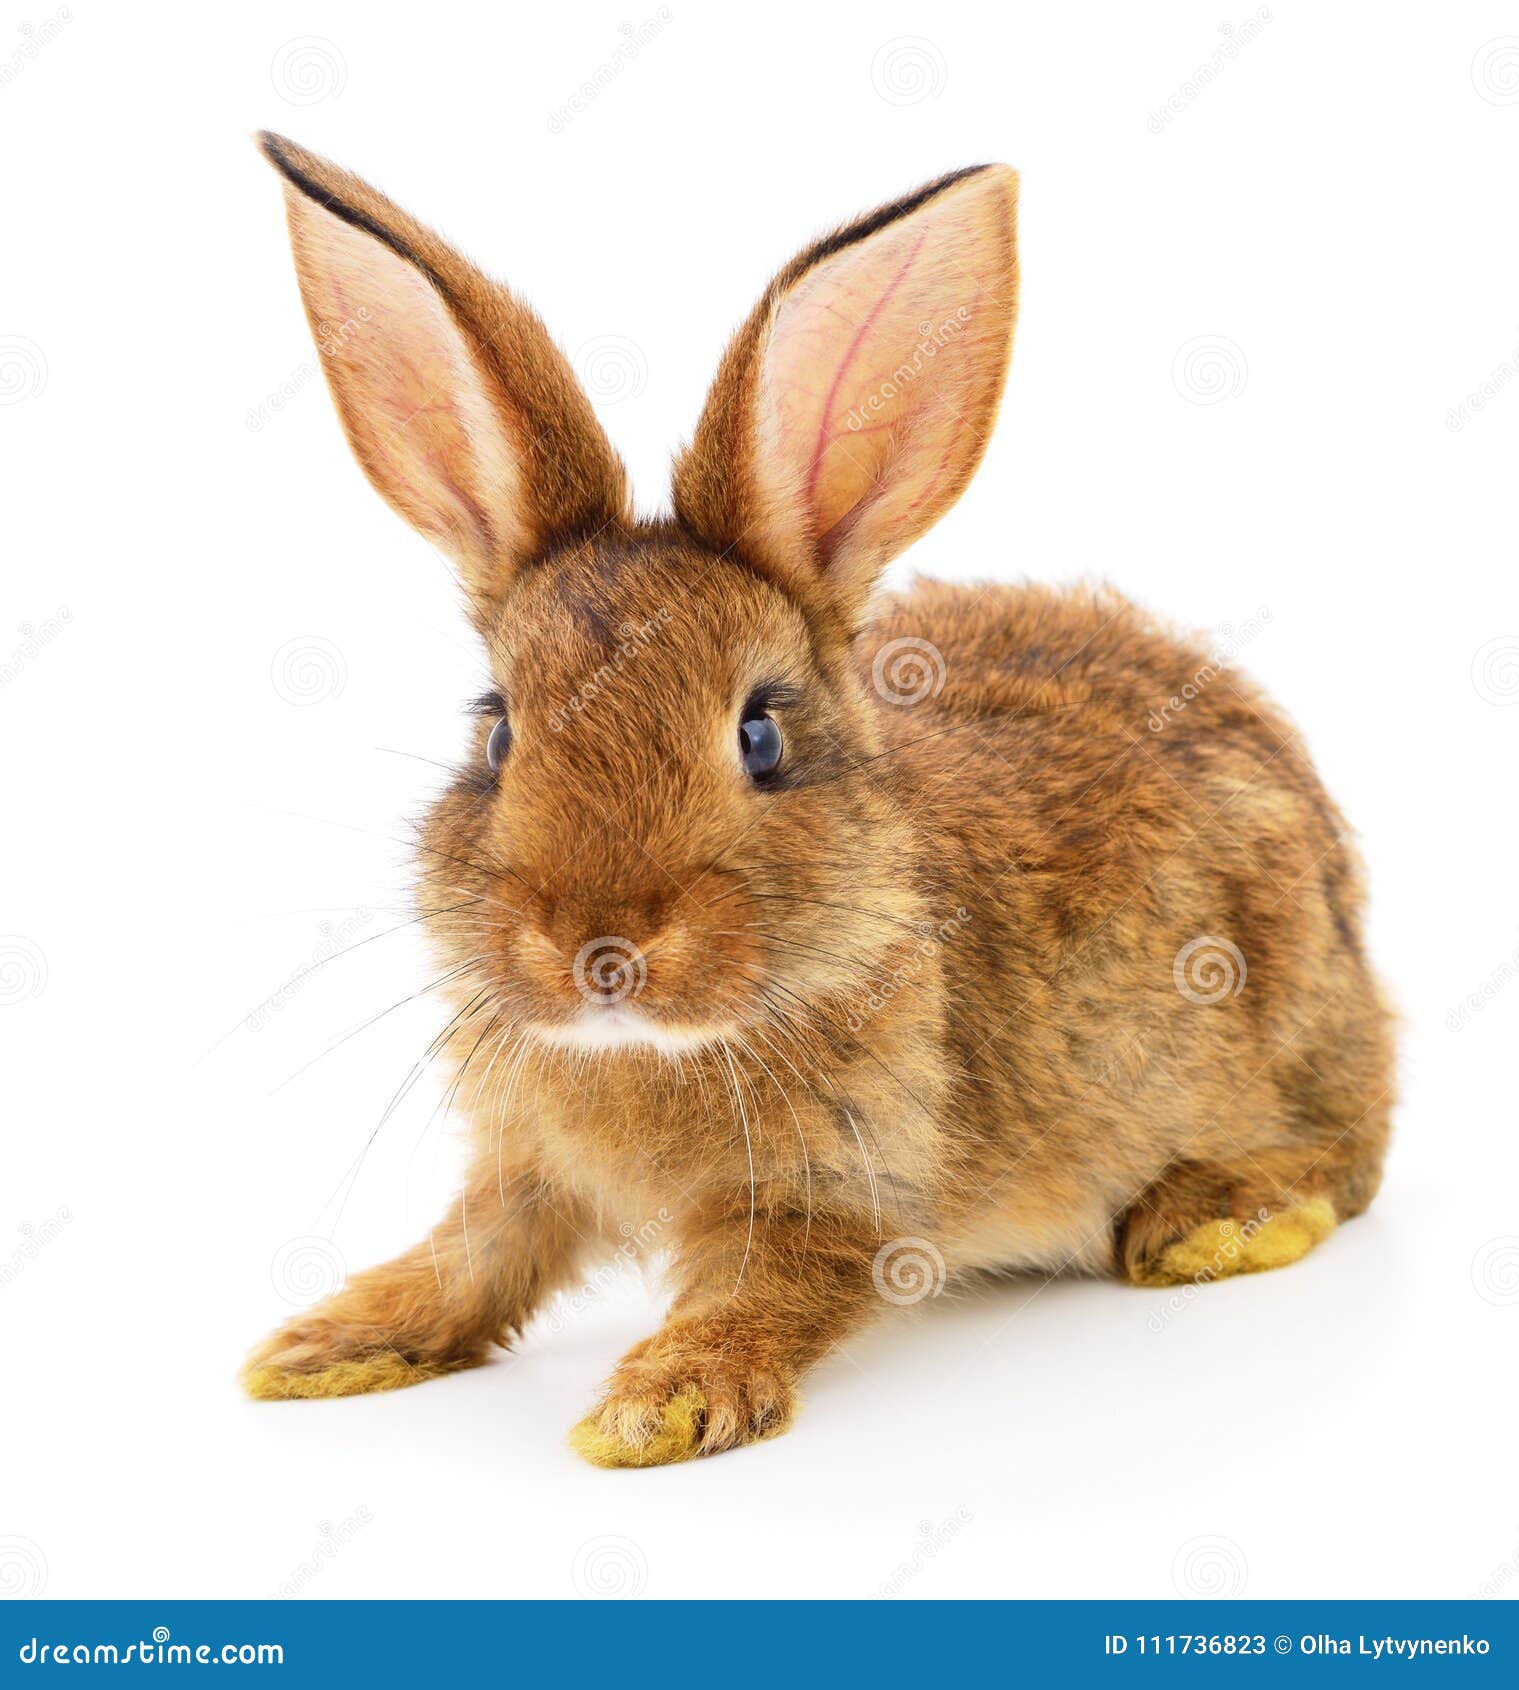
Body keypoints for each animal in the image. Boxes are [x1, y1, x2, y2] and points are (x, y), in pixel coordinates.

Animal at [242, 134, 1394, 1466]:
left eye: (761, 735)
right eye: (497, 732)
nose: (597, 947)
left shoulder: (839, 1194)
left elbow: (768, 1289)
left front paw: (655, 1408)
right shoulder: (528, 1168)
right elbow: (479, 1253)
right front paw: (325, 1346)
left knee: (1350, 1148)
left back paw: (1208, 1221)